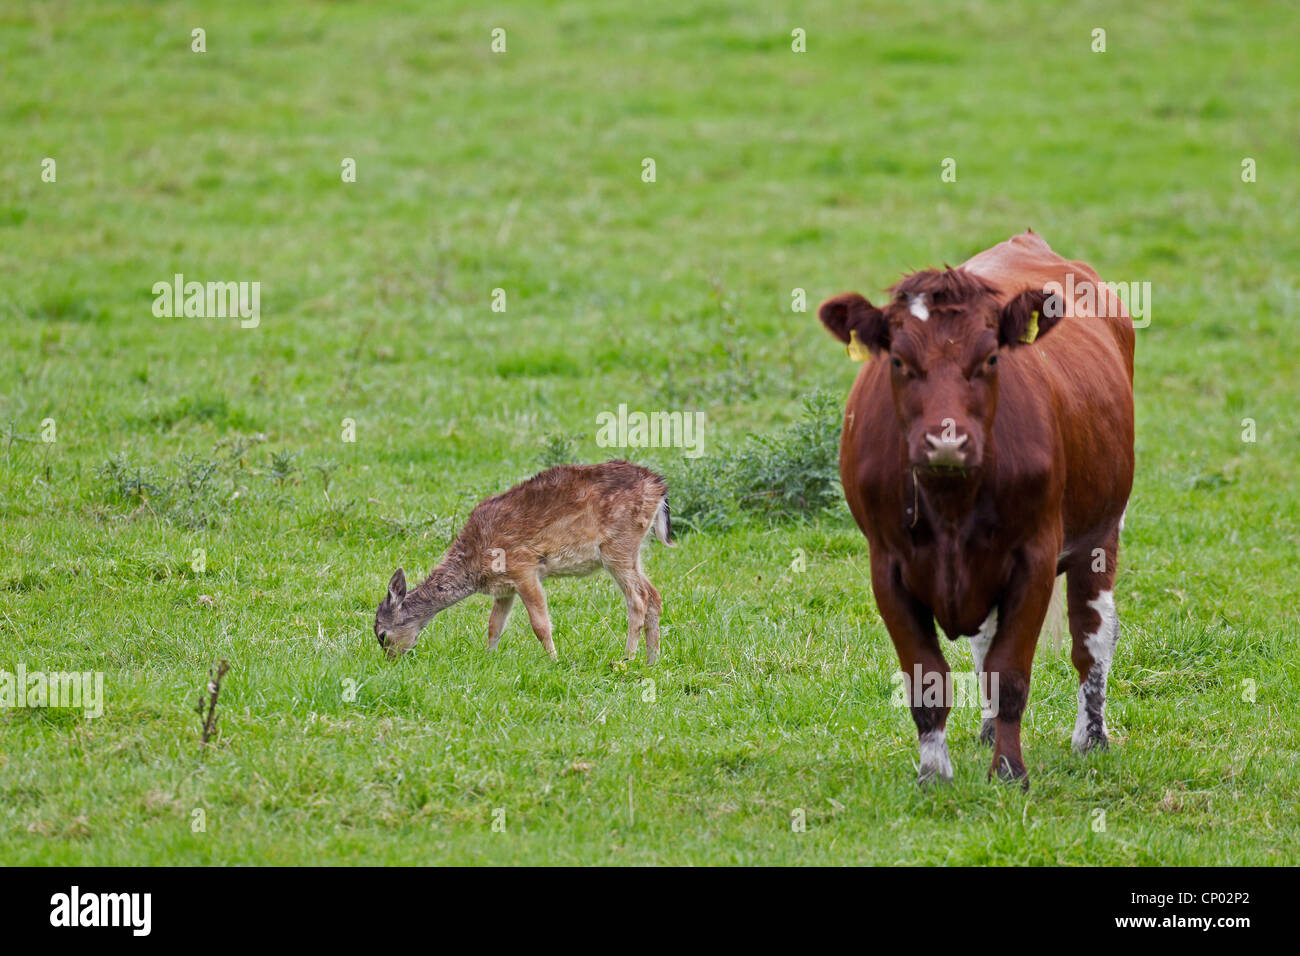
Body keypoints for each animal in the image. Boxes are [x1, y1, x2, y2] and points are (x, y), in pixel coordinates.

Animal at [817, 231, 1135, 788]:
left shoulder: (1034, 558)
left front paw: (1009, 771)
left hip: (1100, 535)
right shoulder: (887, 566)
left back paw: (1091, 736)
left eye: (990, 359)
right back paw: (988, 730)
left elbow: (1010, 673)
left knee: (1093, 635)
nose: (947, 441)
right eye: (898, 361)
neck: (950, 502)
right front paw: (933, 772)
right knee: (986, 639)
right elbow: (927, 677)